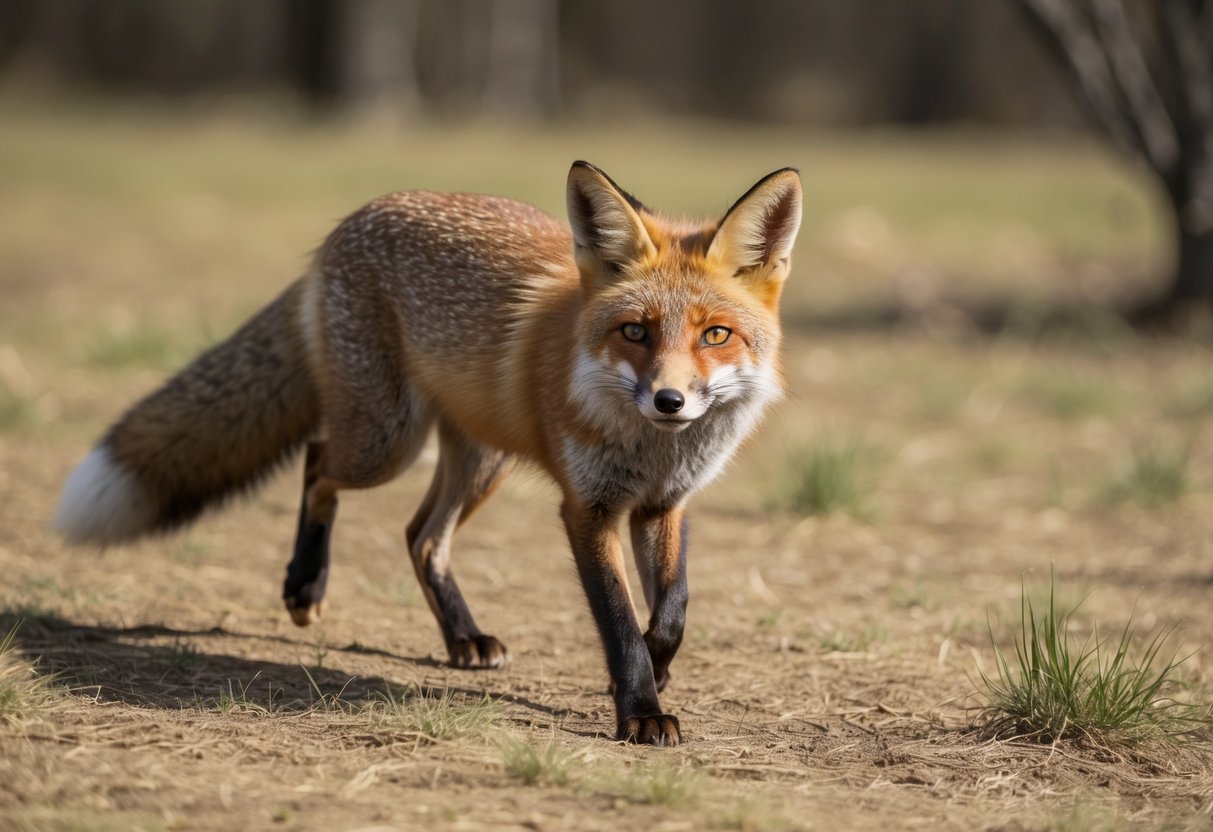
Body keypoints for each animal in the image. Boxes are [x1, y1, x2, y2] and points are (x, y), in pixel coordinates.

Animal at [53, 161, 802, 746]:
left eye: (715, 334)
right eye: (636, 332)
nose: (669, 402)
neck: (651, 452)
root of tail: (358, 214)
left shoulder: (662, 506)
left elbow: (672, 611)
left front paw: (655, 669)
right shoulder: (585, 509)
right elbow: (618, 621)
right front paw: (640, 708)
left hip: (480, 462)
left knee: (421, 536)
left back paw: (462, 638)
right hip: (387, 441)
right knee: (319, 462)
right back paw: (305, 586)